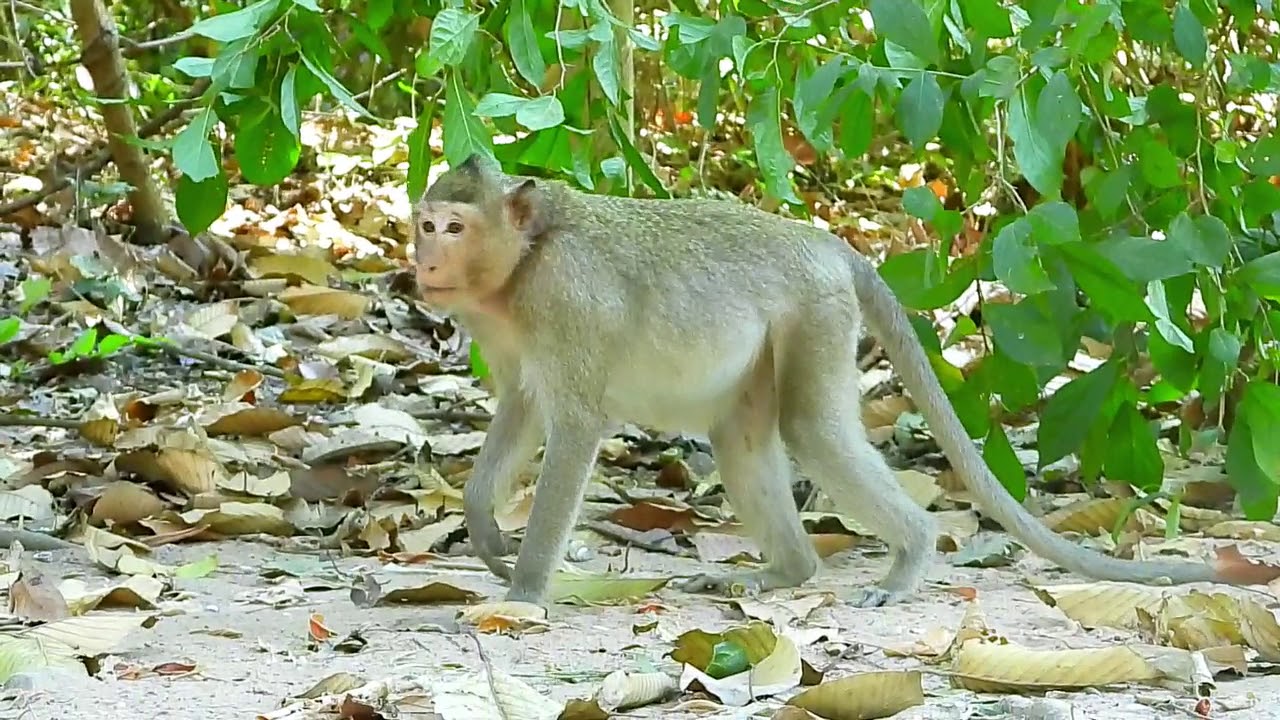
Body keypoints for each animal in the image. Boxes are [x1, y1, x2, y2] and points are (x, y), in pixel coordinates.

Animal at [412, 154, 1256, 608]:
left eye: (452, 228)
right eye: (426, 224)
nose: (423, 261)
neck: (527, 260)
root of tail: (827, 245)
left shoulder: (568, 300)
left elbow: (577, 425)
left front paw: (523, 593)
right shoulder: (509, 333)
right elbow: (524, 407)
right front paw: (483, 524)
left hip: (815, 315)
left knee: (810, 431)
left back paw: (911, 555)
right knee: (743, 439)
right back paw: (790, 571)